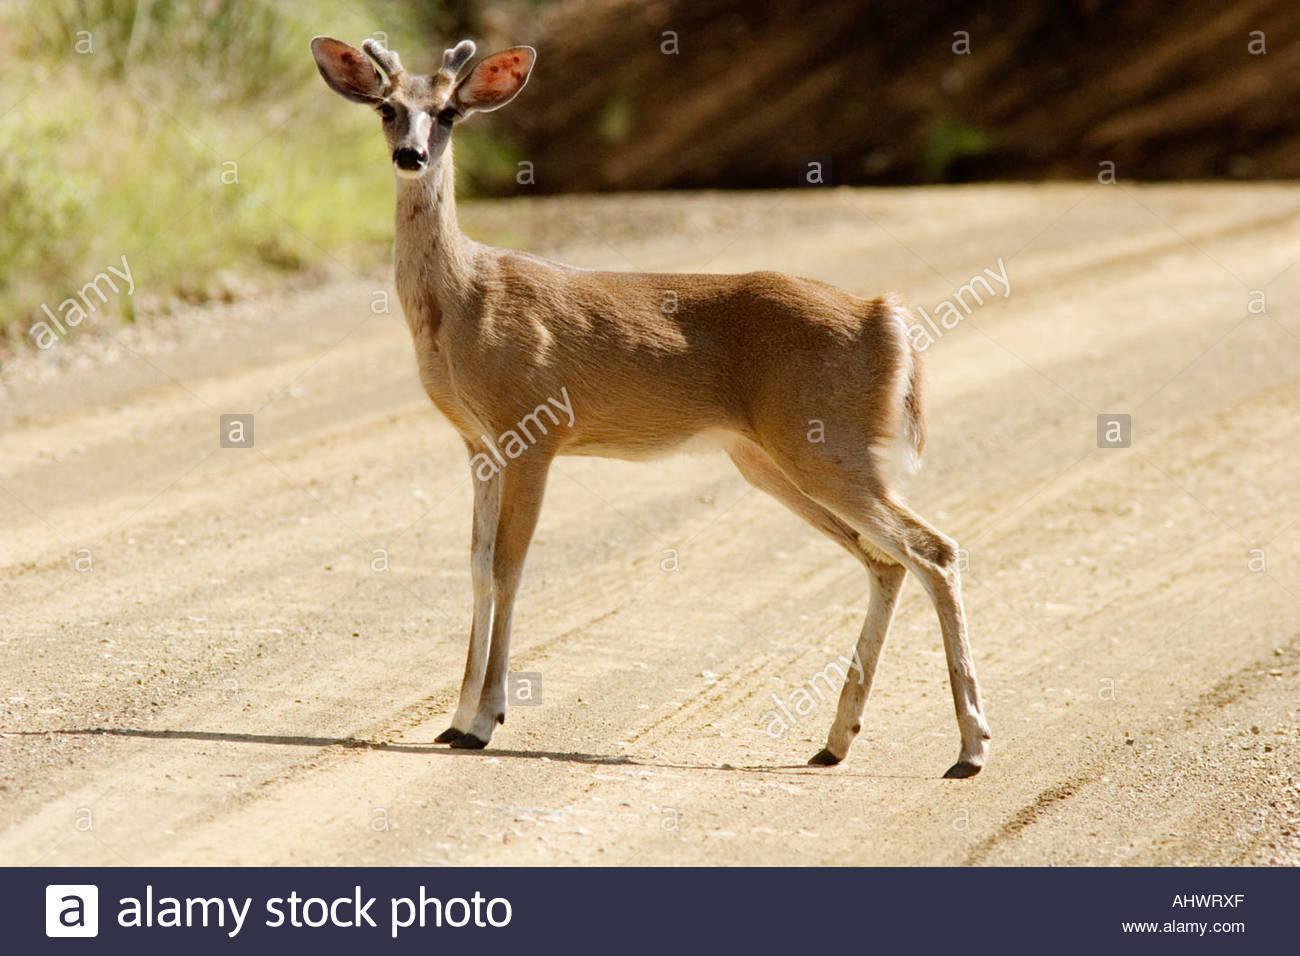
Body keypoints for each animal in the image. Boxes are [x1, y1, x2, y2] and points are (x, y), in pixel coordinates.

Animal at [310, 35, 991, 778]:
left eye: (449, 112)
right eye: (386, 107)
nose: (411, 156)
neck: (462, 302)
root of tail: (884, 316)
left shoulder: (534, 429)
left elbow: (509, 567)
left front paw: (485, 721)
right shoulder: (479, 445)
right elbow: (478, 567)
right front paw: (458, 718)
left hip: (824, 443)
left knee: (934, 549)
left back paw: (970, 747)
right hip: (768, 457)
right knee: (886, 560)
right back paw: (835, 741)